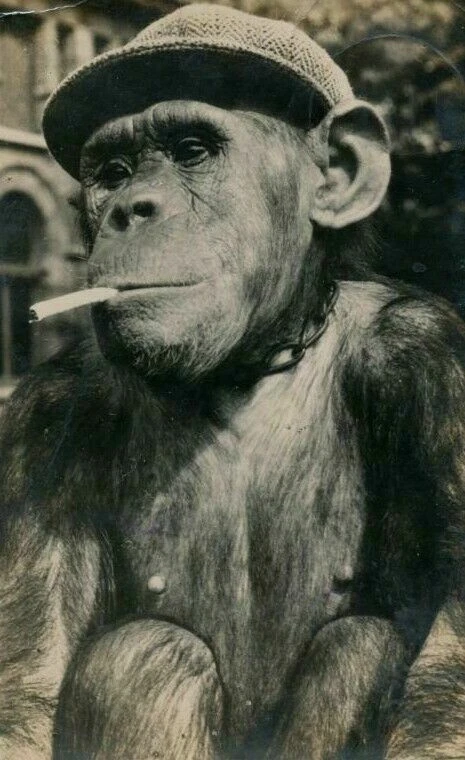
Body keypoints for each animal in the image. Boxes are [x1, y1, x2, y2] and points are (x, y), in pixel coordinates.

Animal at [1, 4, 465, 759]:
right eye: (113, 170)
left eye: (192, 150)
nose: (132, 207)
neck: (250, 361)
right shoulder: (41, 422)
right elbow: (29, 680)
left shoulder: (431, 359)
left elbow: (448, 659)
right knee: (146, 652)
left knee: (360, 646)